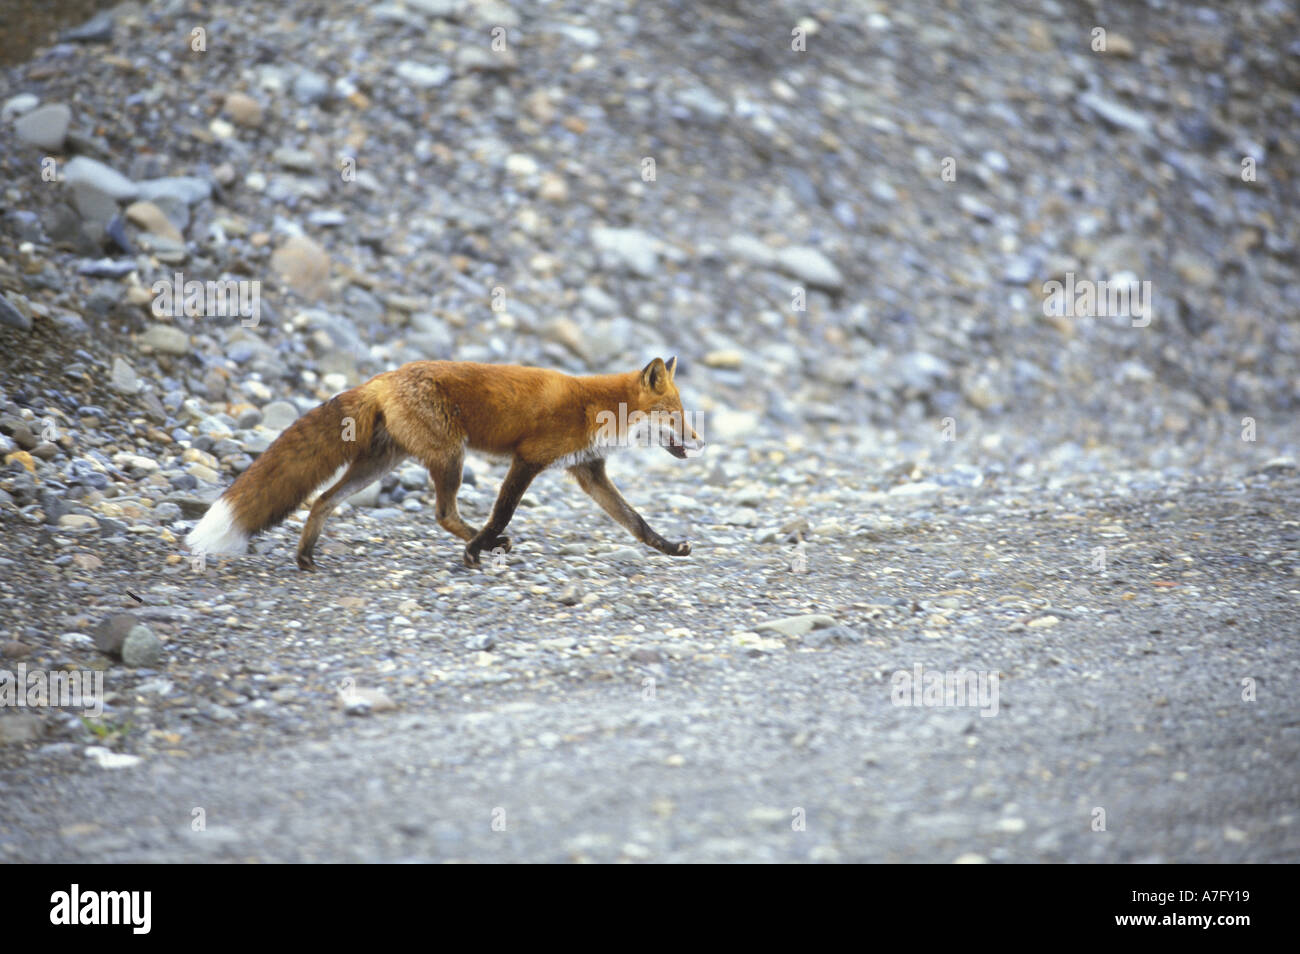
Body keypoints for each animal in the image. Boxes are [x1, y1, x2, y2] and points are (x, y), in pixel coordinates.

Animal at [185, 357, 705, 569]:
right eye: (675, 415)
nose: (700, 441)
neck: (594, 407)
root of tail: (383, 377)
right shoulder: (529, 458)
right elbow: (502, 513)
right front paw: (479, 548)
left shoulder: (589, 472)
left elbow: (636, 523)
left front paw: (668, 549)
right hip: (450, 456)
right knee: (444, 513)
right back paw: (479, 546)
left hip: (381, 464)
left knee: (322, 500)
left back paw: (306, 557)